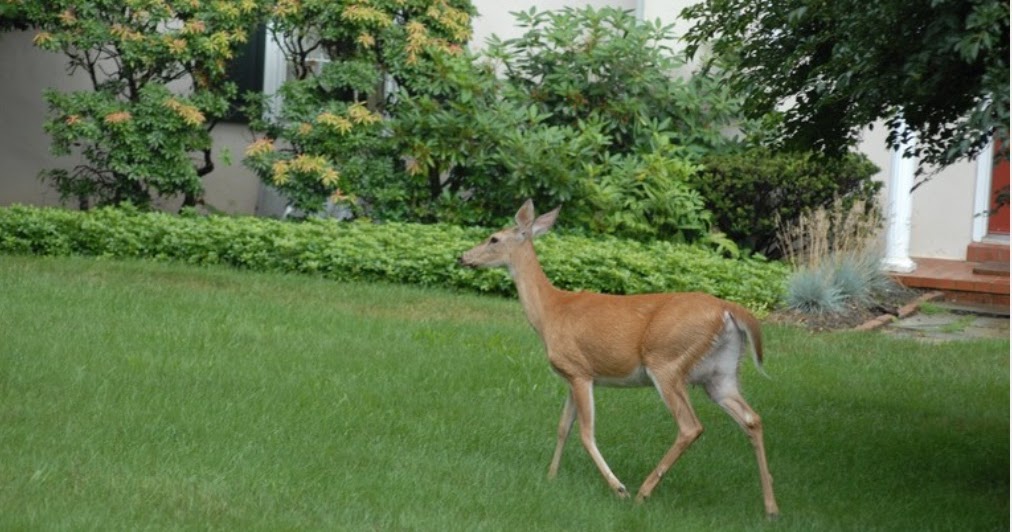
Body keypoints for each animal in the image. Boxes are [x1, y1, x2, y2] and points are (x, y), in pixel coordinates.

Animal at [458, 200, 779, 518]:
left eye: (494, 238)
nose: (462, 257)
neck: (550, 313)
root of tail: (730, 309)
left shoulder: (579, 370)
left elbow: (585, 433)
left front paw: (618, 488)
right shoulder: (571, 376)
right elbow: (562, 427)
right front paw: (550, 477)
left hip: (667, 361)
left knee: (691, 426)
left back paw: (642, 492)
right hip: (720, 373)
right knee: (752, 419)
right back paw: (771, 507)